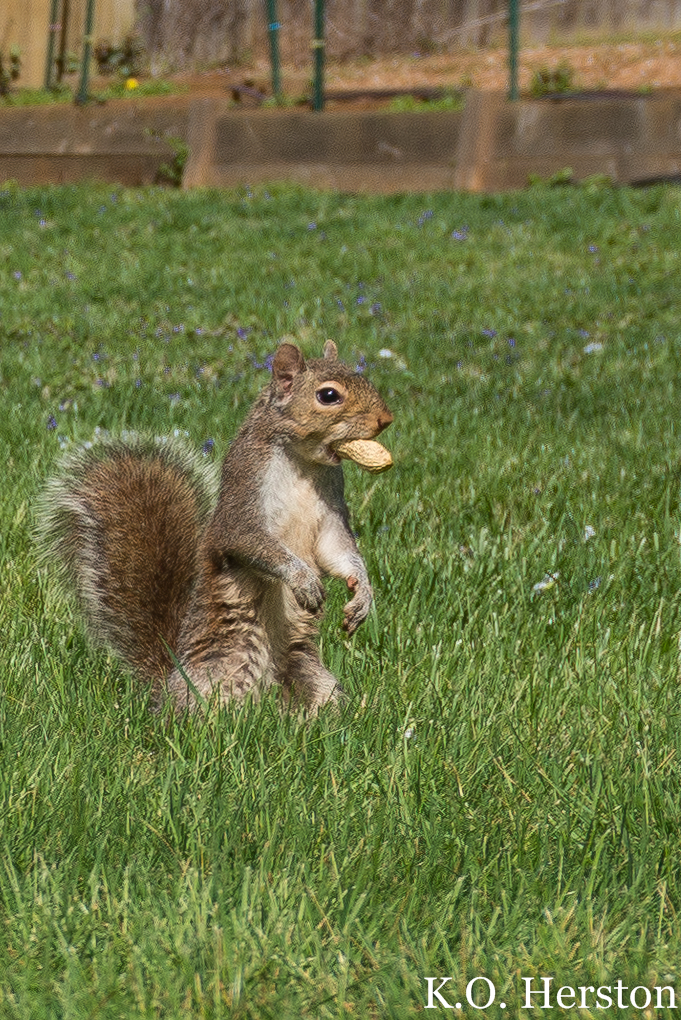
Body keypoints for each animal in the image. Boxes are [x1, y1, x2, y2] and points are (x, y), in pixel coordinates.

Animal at [38, 340, 393, 713]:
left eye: (362, 377)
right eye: (328, 395)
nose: (386, 420)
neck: (304, 463)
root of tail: (168, 683)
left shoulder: (331, 510)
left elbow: (337, 550)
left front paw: (363, 595)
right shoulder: (243, 496)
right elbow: (250, 541)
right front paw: (303, 580)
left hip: (307, 670)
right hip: (225, 665)